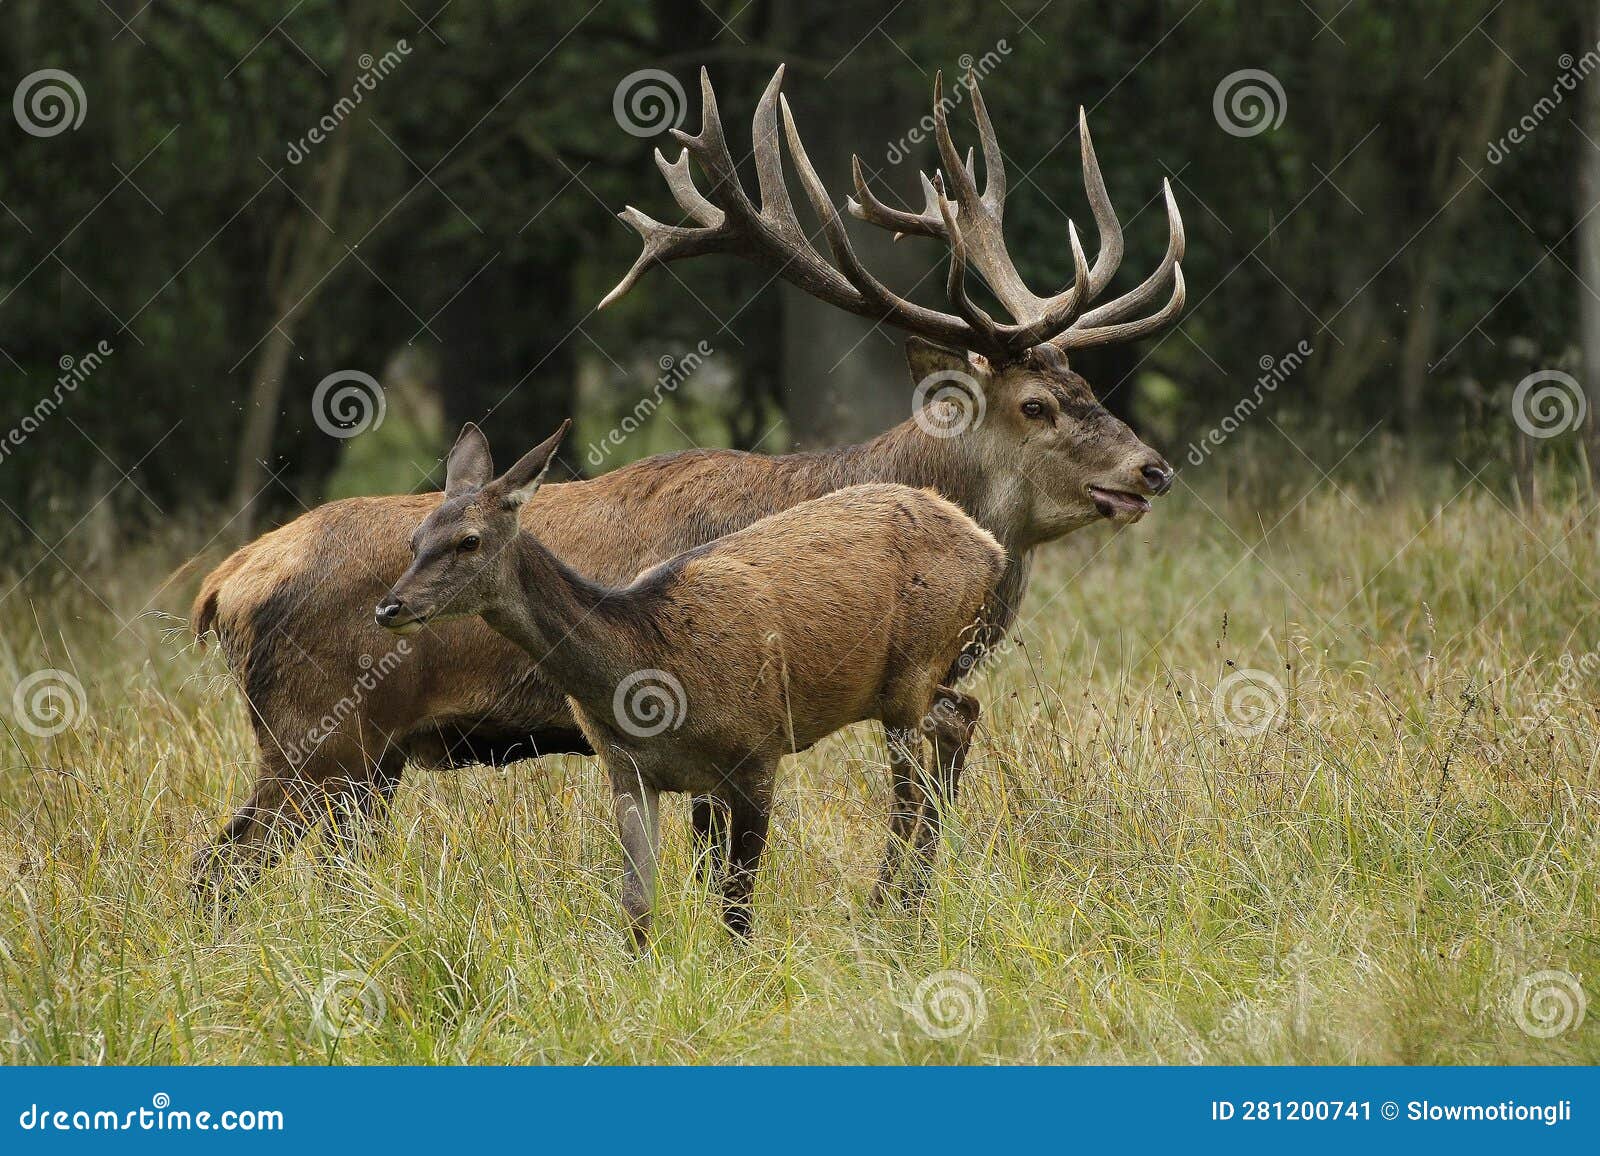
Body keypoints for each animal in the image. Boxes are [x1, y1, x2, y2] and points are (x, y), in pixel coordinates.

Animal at [375, 420, 1007, 940]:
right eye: (415, 539)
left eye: (469, 540)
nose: (389, 607)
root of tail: (989, 546)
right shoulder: (628, 773)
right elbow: (637, 907)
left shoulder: (757, 749)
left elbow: (736, 904)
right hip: (907, 683)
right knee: (959, 717)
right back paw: (912, 897)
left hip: (914, 668)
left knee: (909, 793)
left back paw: (887, 909)